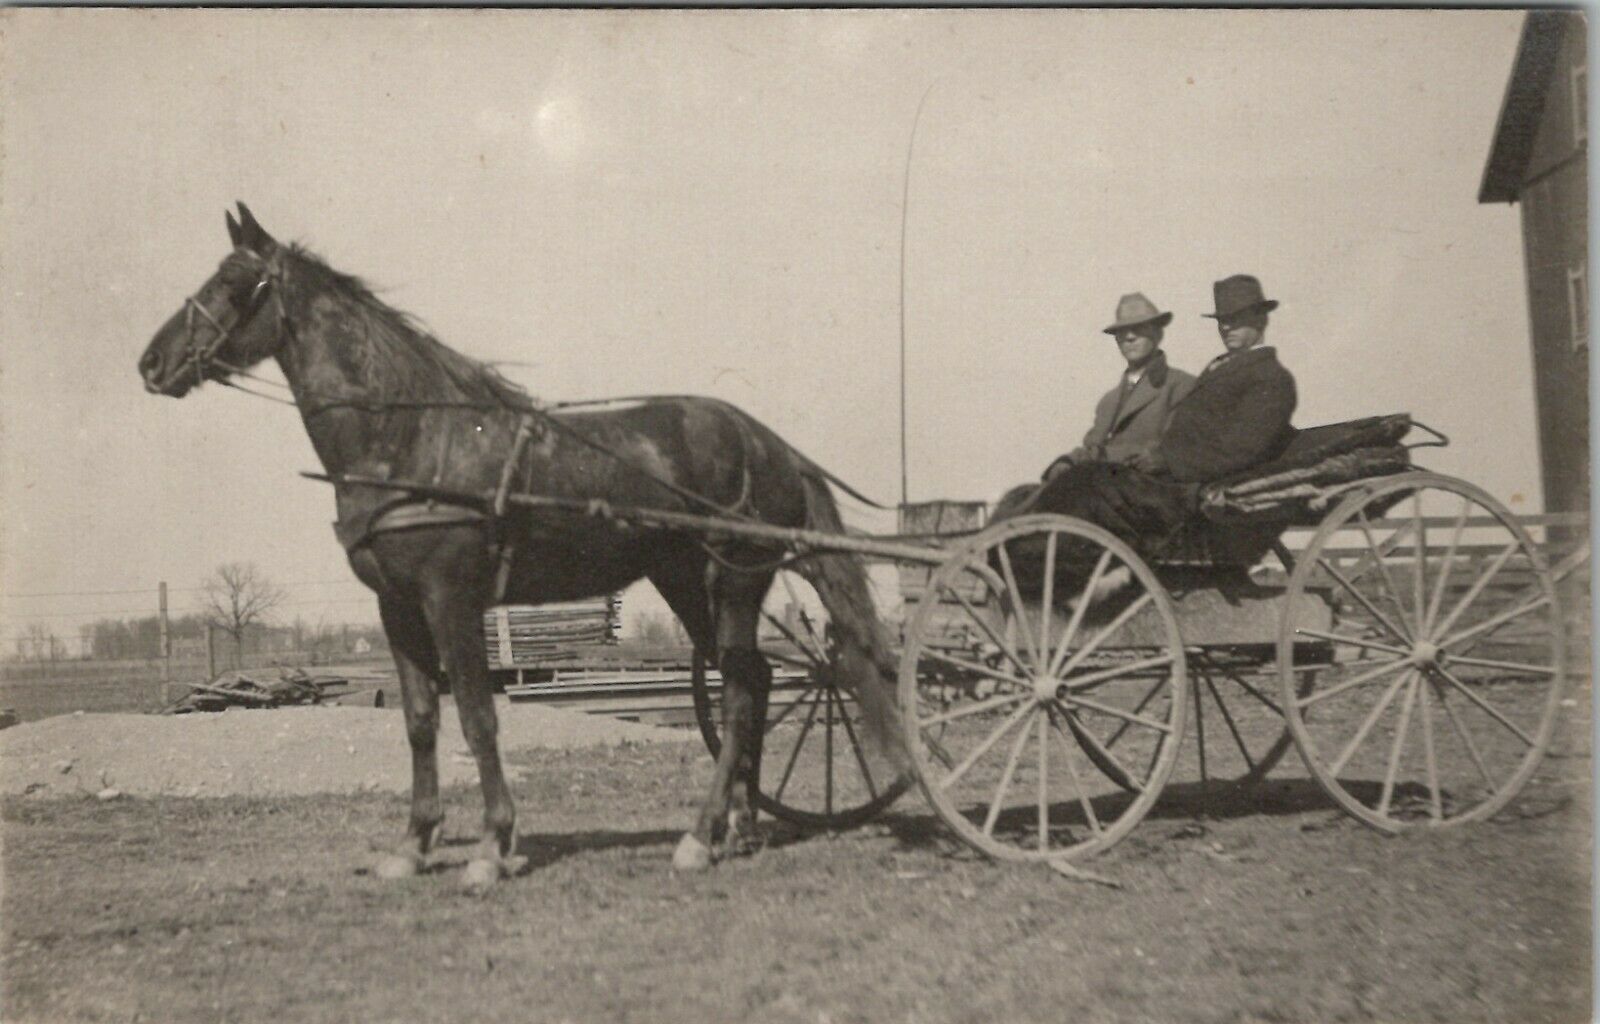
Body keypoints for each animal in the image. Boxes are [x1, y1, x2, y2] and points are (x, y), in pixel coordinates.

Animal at [138, 203, 904, 889]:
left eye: (234, 281)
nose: (151, 362)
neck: (411, 440)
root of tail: (770, 443)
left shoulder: (451, 601)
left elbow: (479, 720)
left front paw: (491, 847)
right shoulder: (397, 608)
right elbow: (421, 722)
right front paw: (414, 846)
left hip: (734, 582)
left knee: (743, 694)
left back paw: (698, 836)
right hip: (685, 582)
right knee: (756, 680)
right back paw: (736, 827)